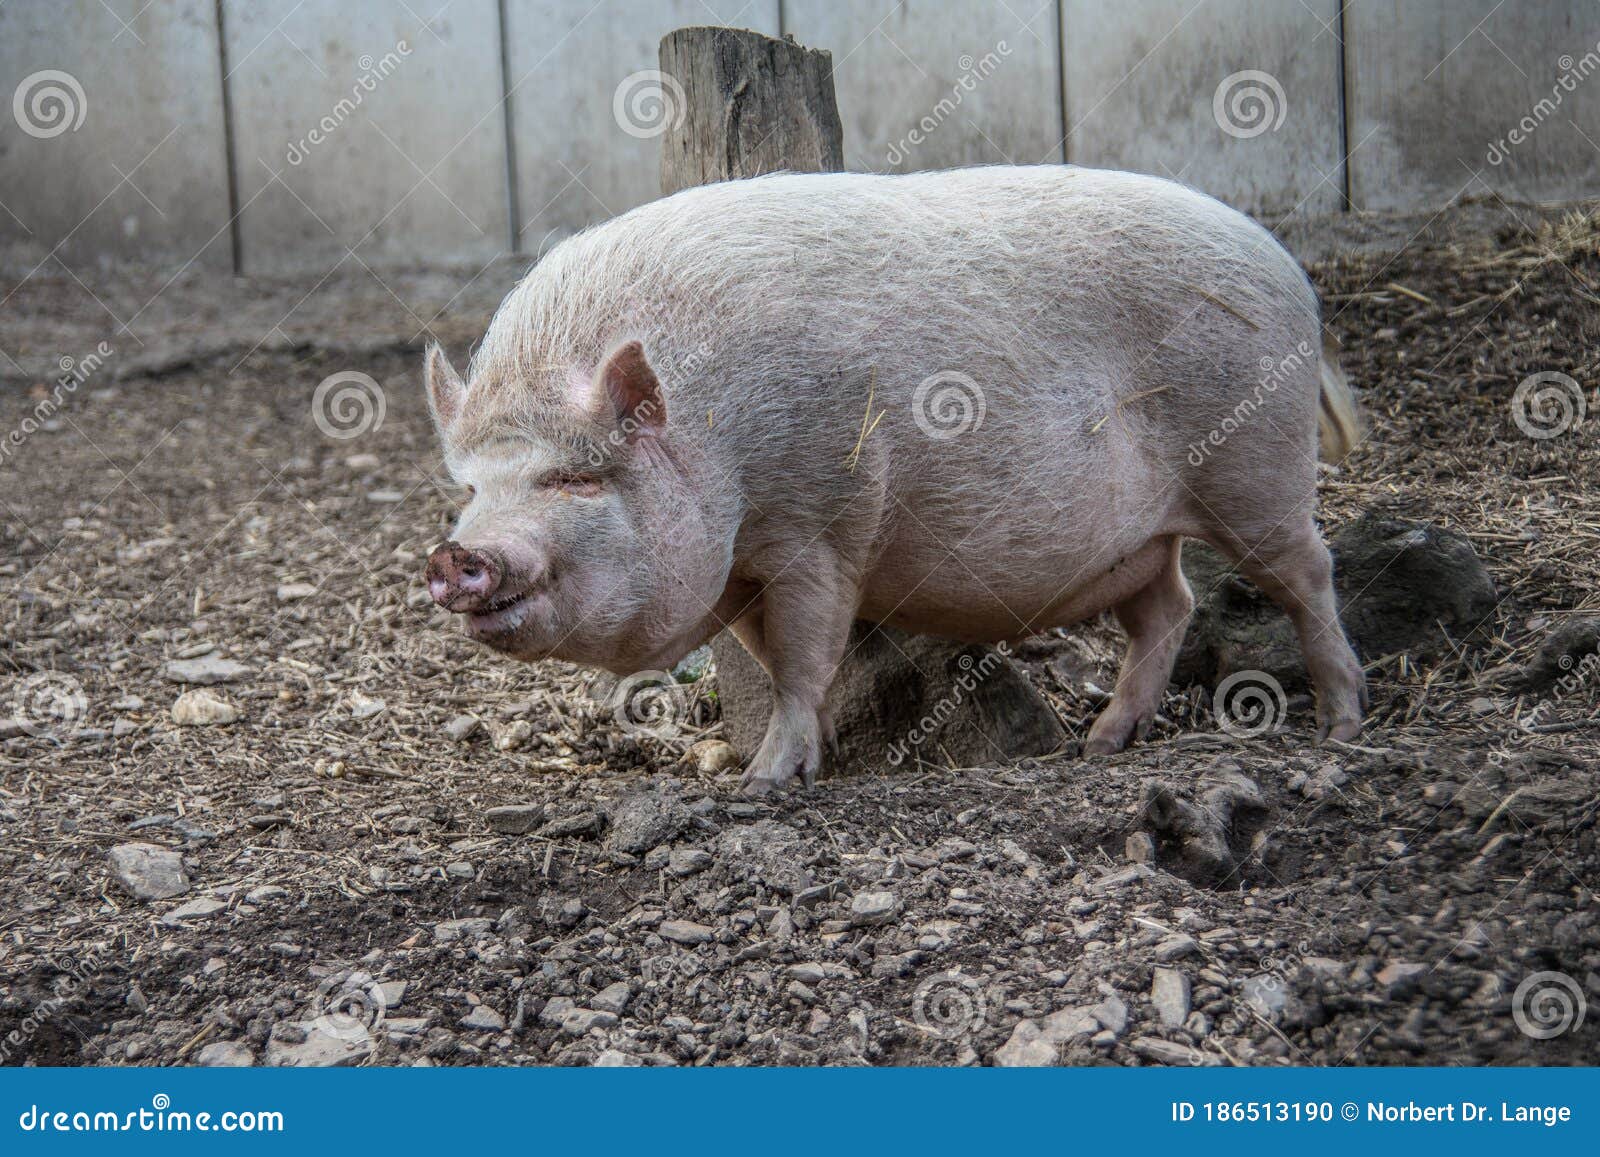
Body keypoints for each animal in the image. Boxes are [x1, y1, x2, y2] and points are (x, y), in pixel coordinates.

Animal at [423, 164, 1366, 794]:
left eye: (576, 479)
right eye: (470, 491)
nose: (457, 555)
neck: (716, 441)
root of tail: (1288, 267)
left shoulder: (822, 524)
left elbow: (806, 654)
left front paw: (762, 785)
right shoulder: (742, 571)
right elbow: (777, 662)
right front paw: (807, 760)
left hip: (1257, 470)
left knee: (1309, 573)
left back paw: (1338, 724)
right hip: (1140, 539)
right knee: (1171, 603)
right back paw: (1101, 744)